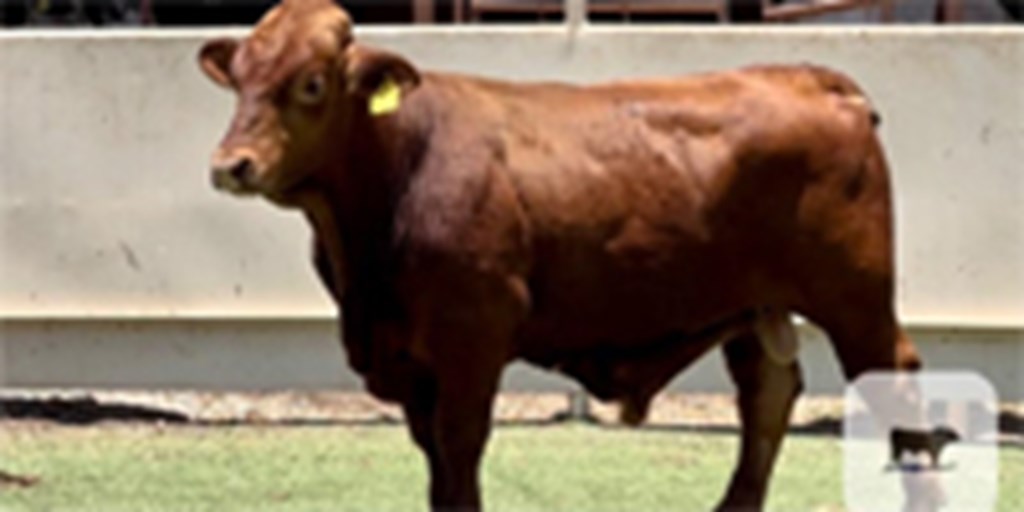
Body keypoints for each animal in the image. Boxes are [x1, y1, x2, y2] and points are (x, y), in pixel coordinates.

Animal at [197, 0, 922, 509]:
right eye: (239, 80)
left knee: (896, 385)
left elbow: (460, 456)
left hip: (856, 300)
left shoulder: (472, 341)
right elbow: (435, 466)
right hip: (754, 306)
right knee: (767, 398)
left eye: (312, 82)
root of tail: (812, 77)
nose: (232, 165)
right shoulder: (407, 362)